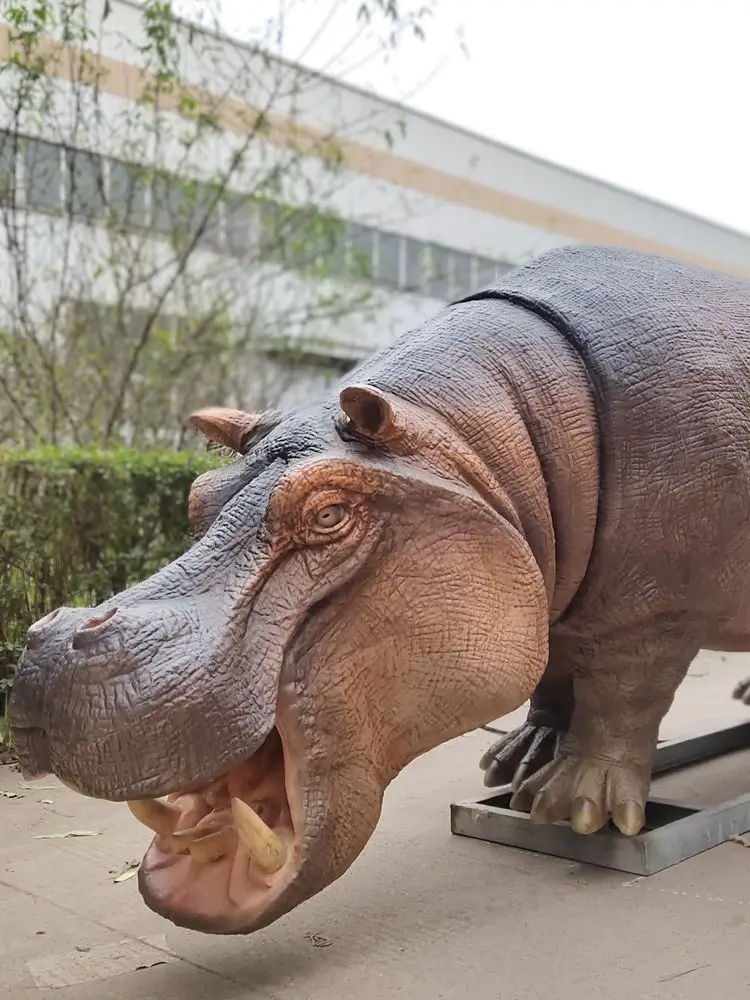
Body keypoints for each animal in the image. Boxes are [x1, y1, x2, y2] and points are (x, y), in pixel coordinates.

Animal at [10, 244, 750, 935]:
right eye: (197, 496)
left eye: (328, 513)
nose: (50, 645)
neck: (490, 450)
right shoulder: (552, 586)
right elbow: (556, 669)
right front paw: (516, 764)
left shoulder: (650, 608)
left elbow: (622, 692)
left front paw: (570, 805)